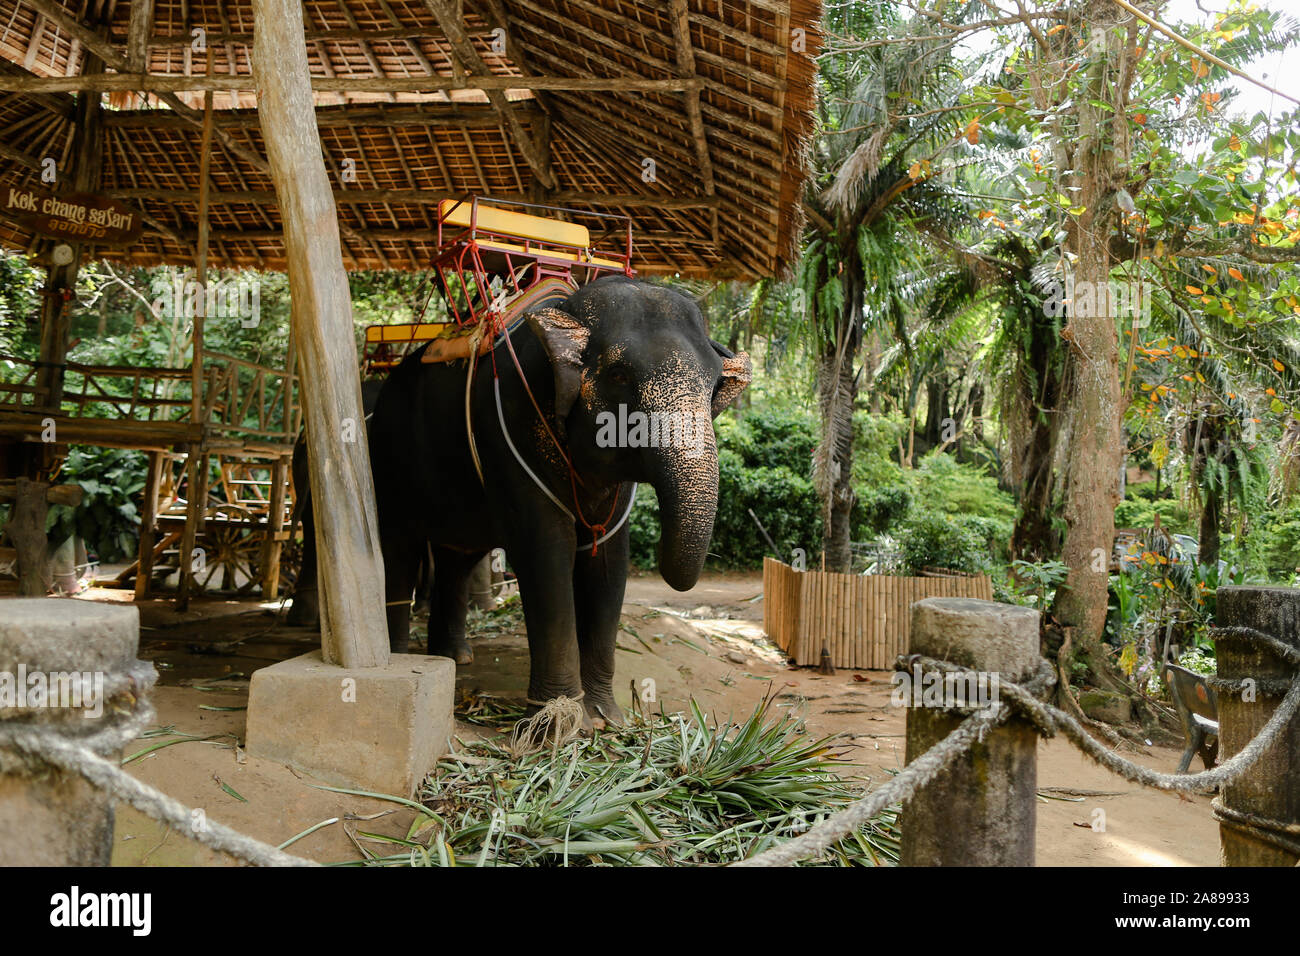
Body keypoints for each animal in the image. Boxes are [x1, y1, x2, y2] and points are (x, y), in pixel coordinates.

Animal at [368, 275, 751, 727]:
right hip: (389, 462)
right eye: (618, 374)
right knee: (400, 548)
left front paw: (607, 719)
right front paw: (558, 725)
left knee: (457, 557)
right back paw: (400, 656)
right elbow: (548, 549)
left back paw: (455, 658)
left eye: (714, 385)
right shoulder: (511, 427)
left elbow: (609, 558)